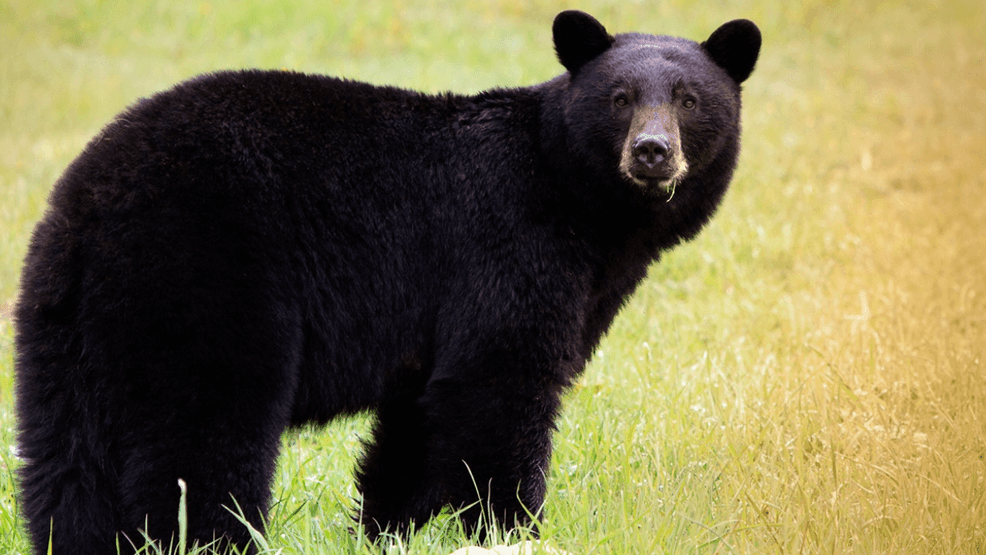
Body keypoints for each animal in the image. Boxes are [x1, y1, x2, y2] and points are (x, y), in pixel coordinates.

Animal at [14, 10, 760, 555]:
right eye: (620, 98)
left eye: (690, 99)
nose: (652, 152)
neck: (580, 205)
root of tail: (91, 201)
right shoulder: (506, 249)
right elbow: (498, 388)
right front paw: (512, 531)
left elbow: (417, 421)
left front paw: (383, 531)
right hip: (207, 280)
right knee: (204, 438)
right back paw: (214, 539)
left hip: (71, 323)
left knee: (67, 456)